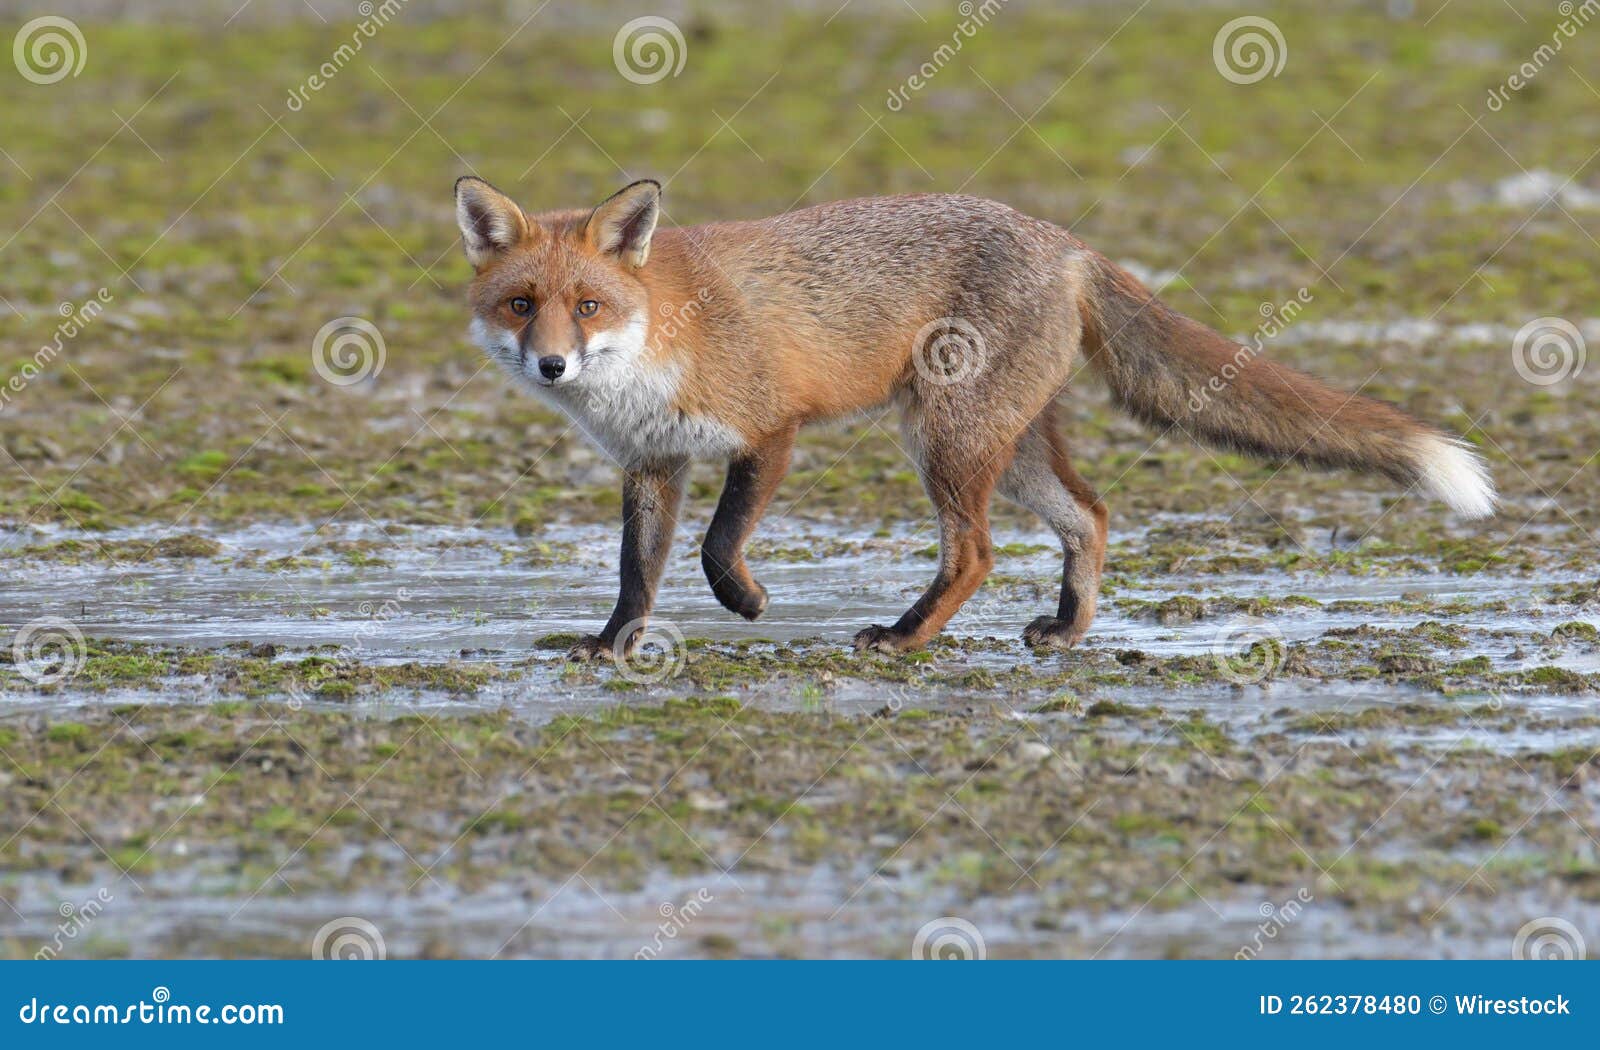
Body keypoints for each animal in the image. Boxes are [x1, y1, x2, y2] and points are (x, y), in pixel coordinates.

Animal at [454, 176, 1496, 660]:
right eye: (522, 305)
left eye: (588, 306)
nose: (551, 362)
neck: (657, 336)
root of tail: (1065, 241)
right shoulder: (653, 463)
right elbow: (638, 571)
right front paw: (612, 644)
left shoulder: (770, 430)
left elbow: (716, 548)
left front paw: (746, 603)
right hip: (1007, 443)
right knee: (1091, 516)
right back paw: (1068, 630)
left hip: (945, 440)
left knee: (977, 553)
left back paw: (907, 636)